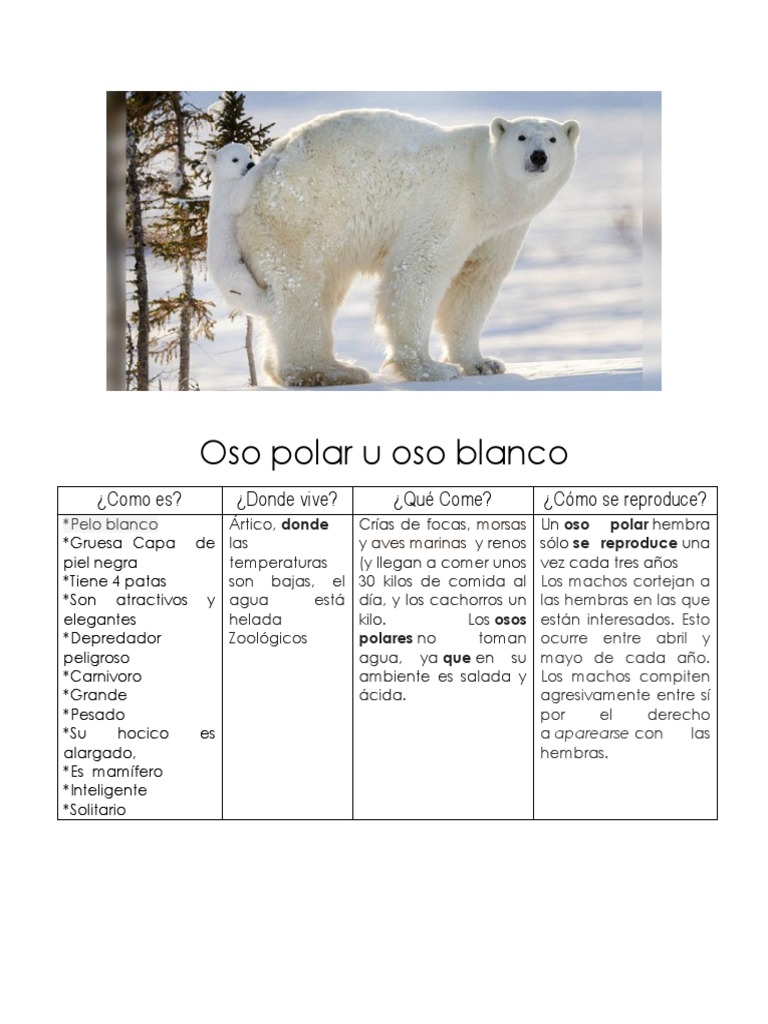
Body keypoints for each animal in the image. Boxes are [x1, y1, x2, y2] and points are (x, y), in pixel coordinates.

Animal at [206, 142, 273, 317]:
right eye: (234, 159)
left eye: (249, 155)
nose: (250, 165)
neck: (223, 181)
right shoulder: (228, 194)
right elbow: (239, 196)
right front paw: (269, 162)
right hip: (230, 267)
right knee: (243, 286)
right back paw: (268, 298)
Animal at [235, 109, 580, 386]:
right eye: (522, 136)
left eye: (552, 138)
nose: (538, 156)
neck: (486, 185)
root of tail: (263, 168)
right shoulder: (446, 204)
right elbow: (419, 271)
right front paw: (430, 368)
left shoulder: (500, 232)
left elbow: (474, 285)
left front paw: (483, 363)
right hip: (300, 218)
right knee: (304, 292)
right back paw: (331, 370)